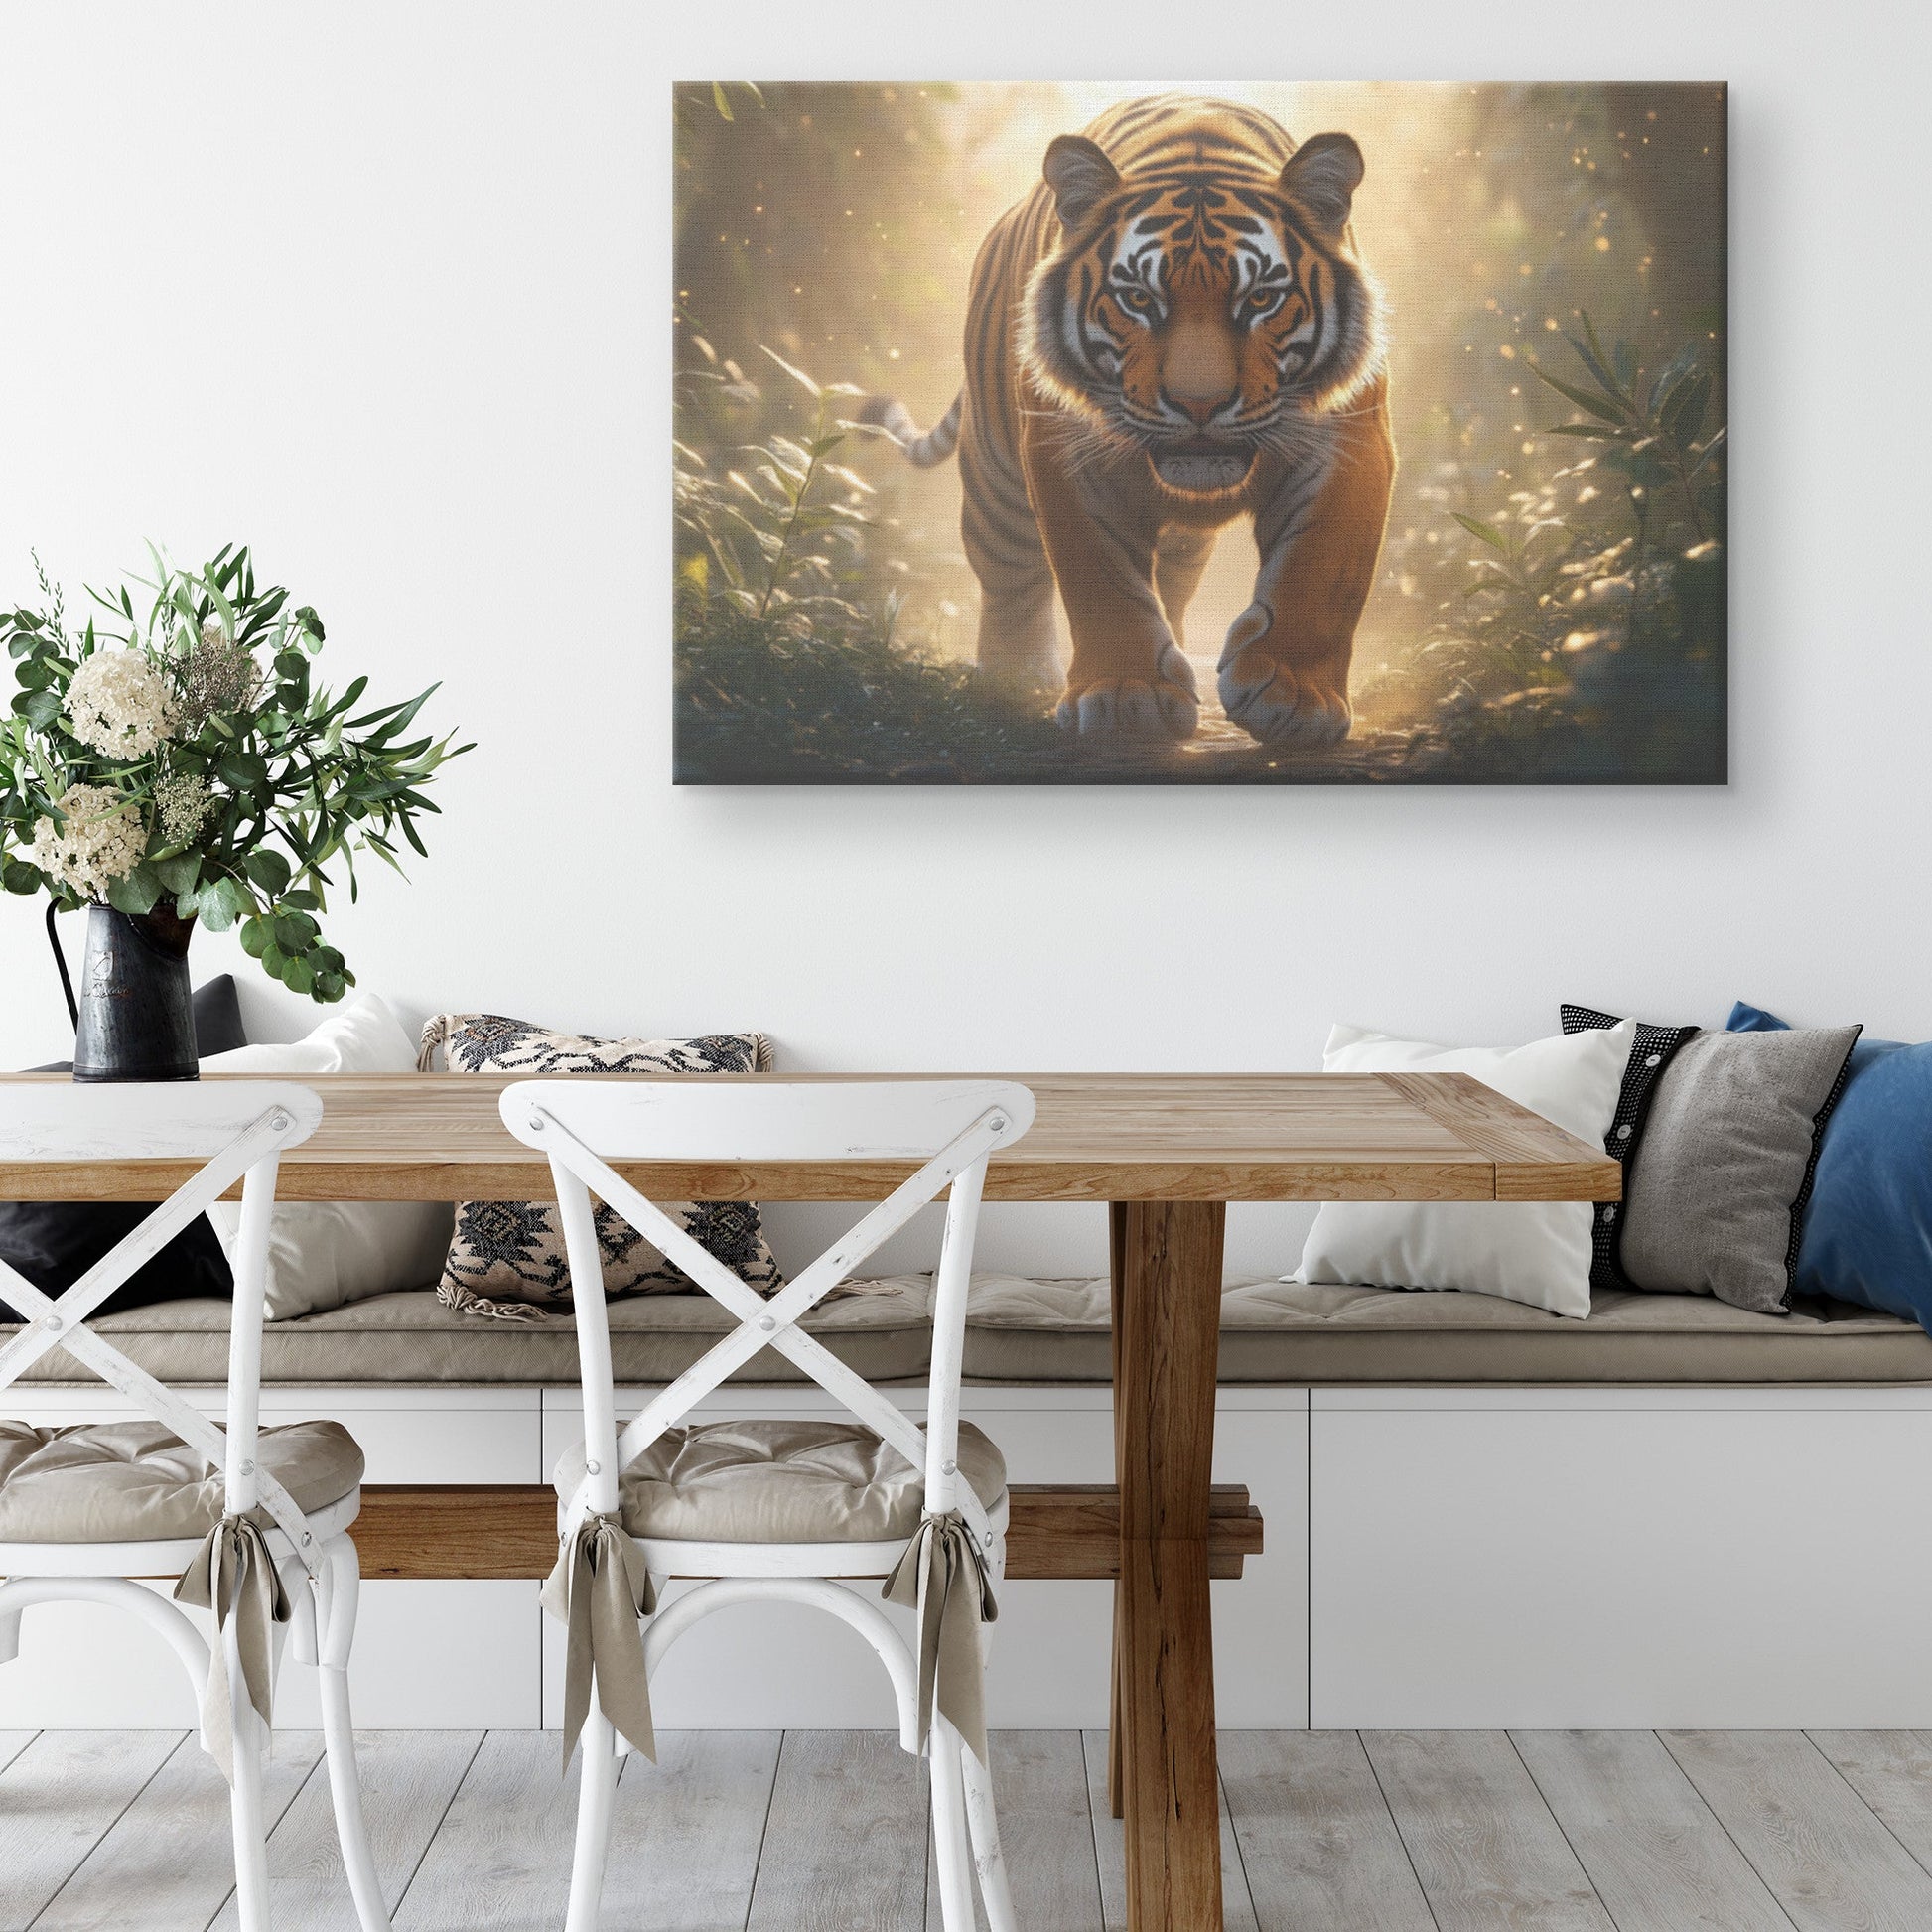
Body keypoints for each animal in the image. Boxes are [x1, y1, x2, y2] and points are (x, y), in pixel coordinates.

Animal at [864, 96, 1394, 748]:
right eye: (1139, 299)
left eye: (1260, 299)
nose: (1199, 405)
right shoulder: (1068, 450)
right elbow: (1101, 579)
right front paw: (1128, 698)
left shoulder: (1350, 439)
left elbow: (1321, 565)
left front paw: (1296, 699)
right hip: (995, 484)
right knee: (1008, 573)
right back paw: (1016, 678)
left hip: (1183, 541)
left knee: (1174, 578)